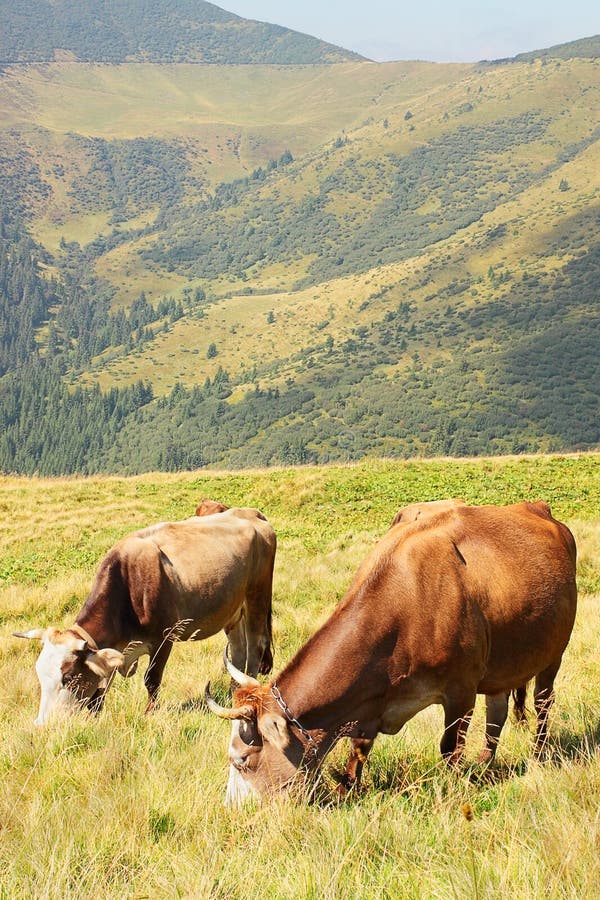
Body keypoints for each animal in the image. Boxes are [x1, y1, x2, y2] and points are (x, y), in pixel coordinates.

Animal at [14, 504, 276, 725]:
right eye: (39, 672)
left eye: (68, 677)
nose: (42, 725)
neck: (128, 584)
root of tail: (251, 513)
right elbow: (101, 687)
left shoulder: (164, 638)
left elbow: (151, 679)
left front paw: (149, 714)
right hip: (233, 609)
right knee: (238, 649)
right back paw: (234, 691)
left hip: (257, 598)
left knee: (254, 647)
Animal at [206, 500, 577, 805]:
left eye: (241, 759)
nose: (231, 811)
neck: (407, 602)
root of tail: (541, 510)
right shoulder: (372, 703)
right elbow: (359, 748)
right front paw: (346, 789)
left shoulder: (461, 690)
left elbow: (450, 747)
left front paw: (452, 787)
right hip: (500, 667)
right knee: (496, 716)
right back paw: (486, 765)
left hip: (553, 654)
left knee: (543, 703)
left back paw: (538, 753)